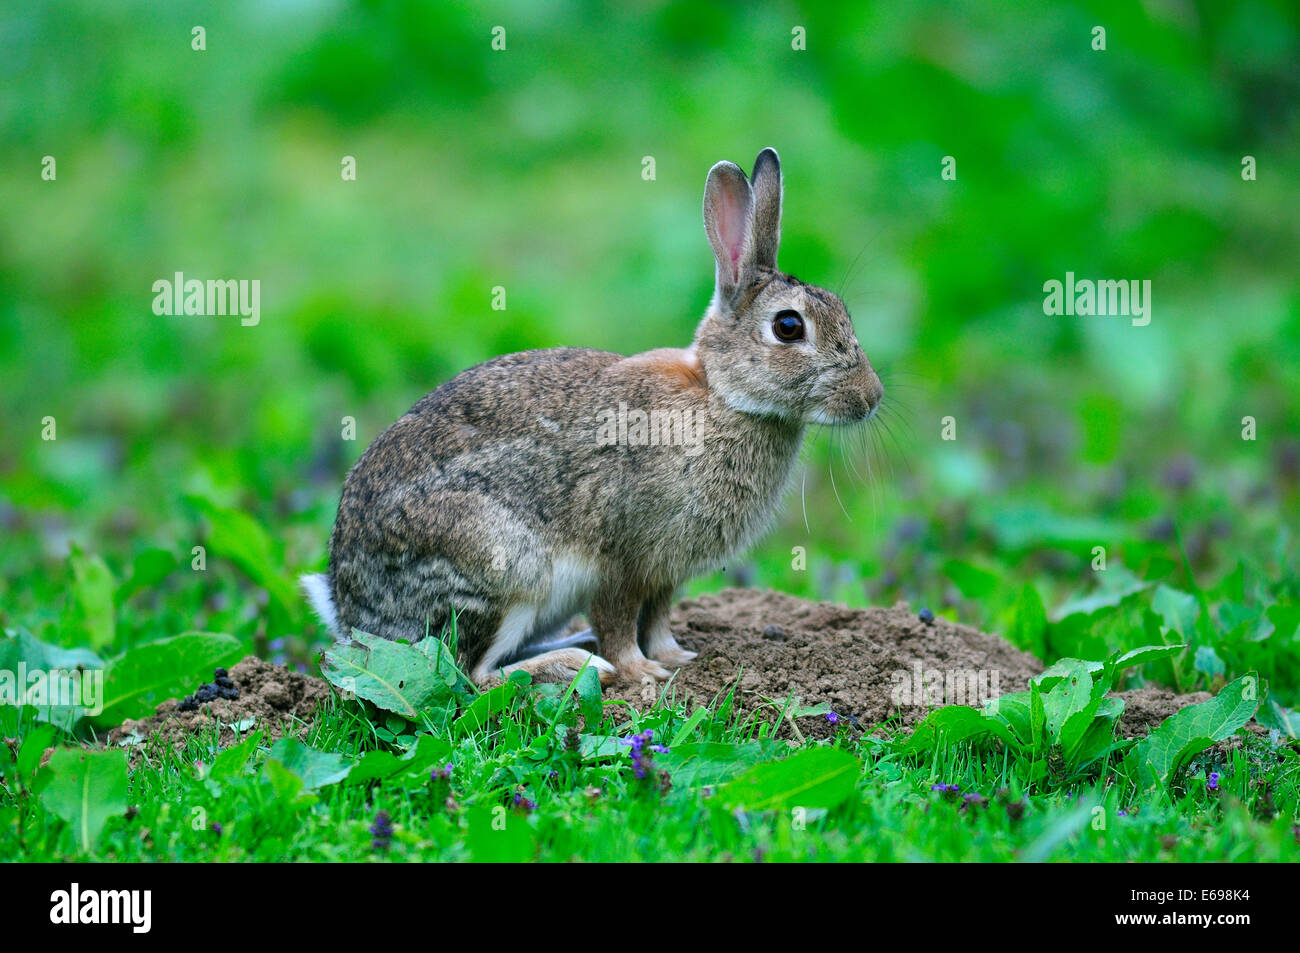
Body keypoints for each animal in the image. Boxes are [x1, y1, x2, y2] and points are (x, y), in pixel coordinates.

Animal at [302, 147, 884, 687]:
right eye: (788, 327)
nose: (871, 397)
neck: (721, 395)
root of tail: (352, 610)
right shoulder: (620, 559)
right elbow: (619, 621)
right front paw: (642, 672)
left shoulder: (664, 573)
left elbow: (658, 618)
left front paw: (677, 658)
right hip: (501, 568)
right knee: (471, 673)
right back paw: (579, 663)